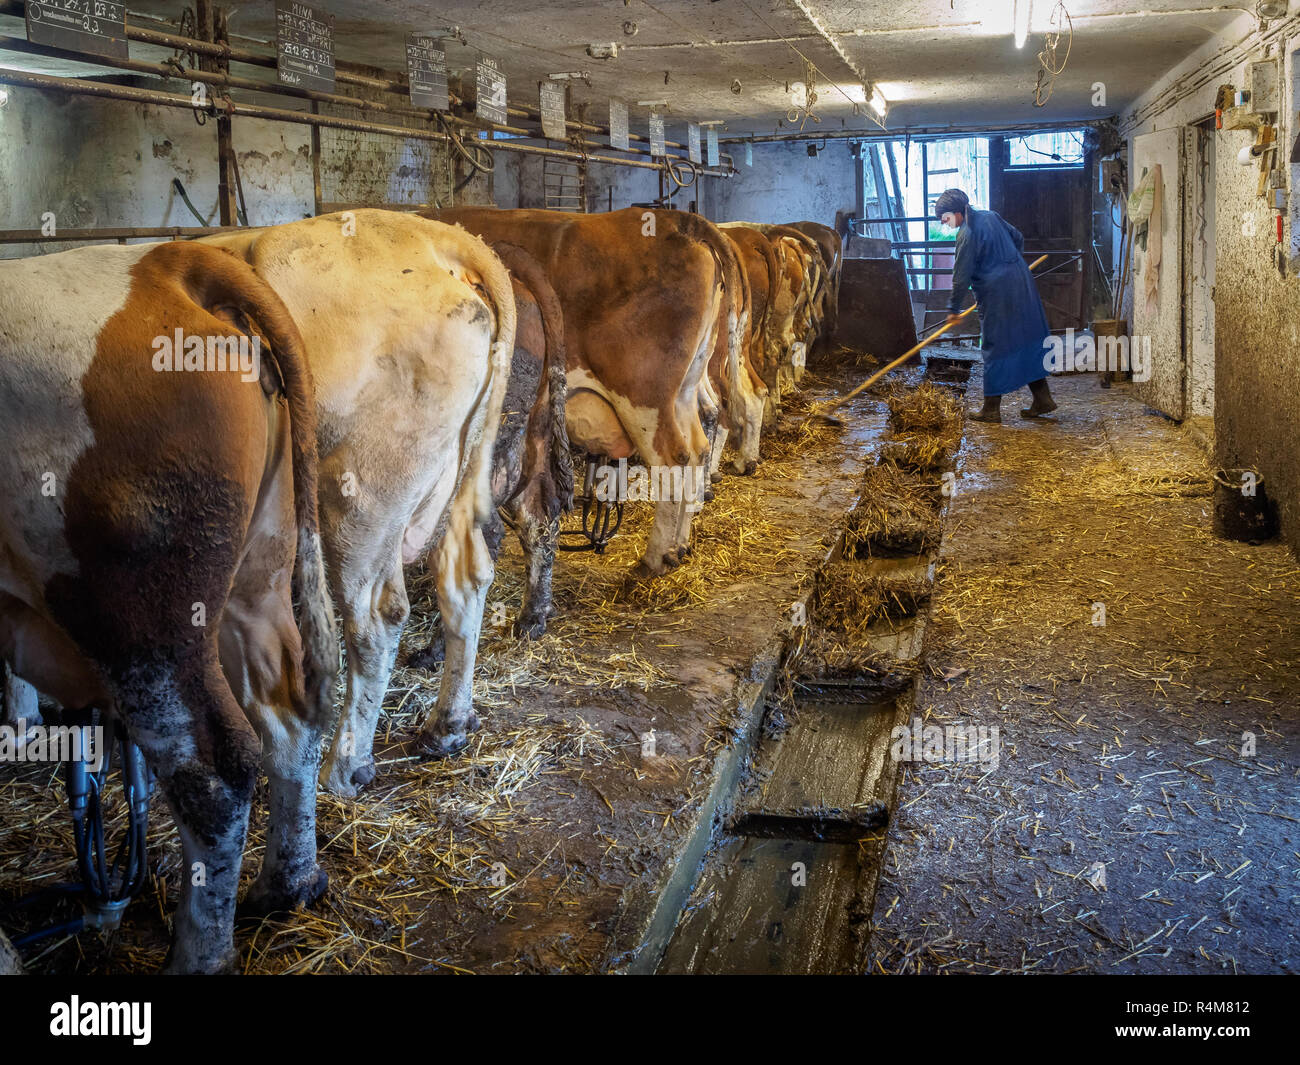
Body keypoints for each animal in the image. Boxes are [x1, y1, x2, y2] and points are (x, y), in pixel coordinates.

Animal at [0, 240, 337, 973]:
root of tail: (166, 263)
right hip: (257, 576)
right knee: (289, 715)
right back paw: (287, 884)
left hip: (136, 618)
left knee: (215, 773)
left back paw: (197, 954)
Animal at [201, 211, 515, 794]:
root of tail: (432, 235)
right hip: (454, 480)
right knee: (465, 577)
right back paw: (446, 727)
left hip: (358, 496)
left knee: (376, 617)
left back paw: (346, 765)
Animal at [426, 206, 743, 576]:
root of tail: (680, 220)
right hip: (686, 387)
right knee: (698, 446)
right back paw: (678, 546)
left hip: (644, 399)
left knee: (674, 458)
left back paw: (654, 559)